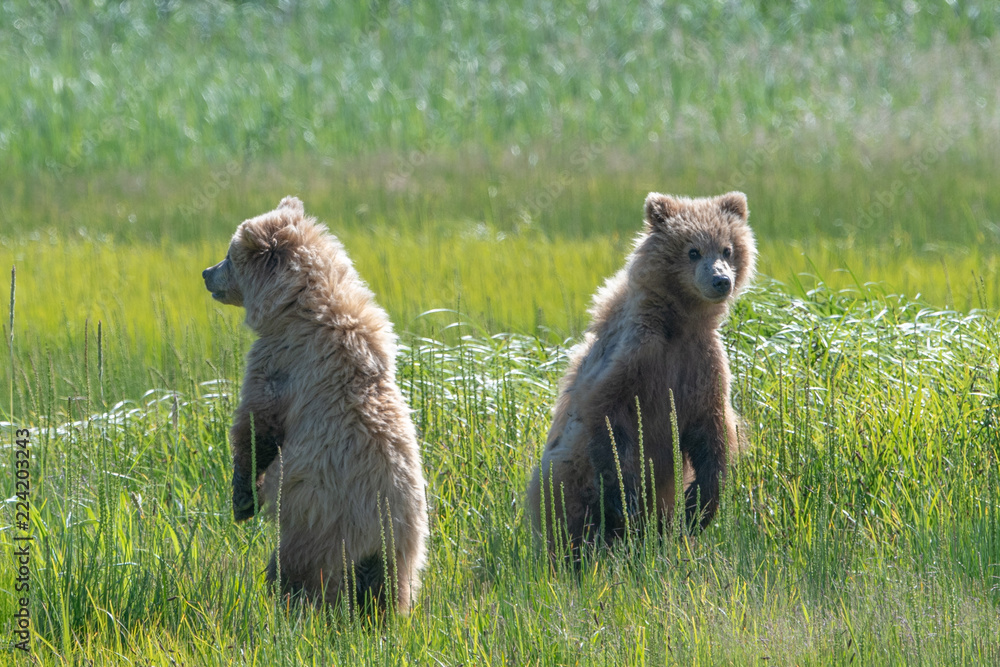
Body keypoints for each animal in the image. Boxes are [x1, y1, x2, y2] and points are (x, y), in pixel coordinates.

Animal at [202, 196, 429, 614]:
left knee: (296, 570)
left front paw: (241, 500)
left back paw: (286, 604)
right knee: (390, 590)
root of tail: (378, 527)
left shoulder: (281, 361)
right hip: (403, 548)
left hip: (317, 522)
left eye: (228, 255)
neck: (298, 304)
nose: (207, 273)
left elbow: (255, 425)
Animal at [526, 191, 755, 554]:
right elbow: (606, 417)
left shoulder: (702, 365)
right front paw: (627, 500)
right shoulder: (635, 357)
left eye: (727, 249)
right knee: (571, 510)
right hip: (566, 471)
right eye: (692, 250)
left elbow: (713, 431)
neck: (680, 324)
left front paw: (699, 506)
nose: (721, 280)